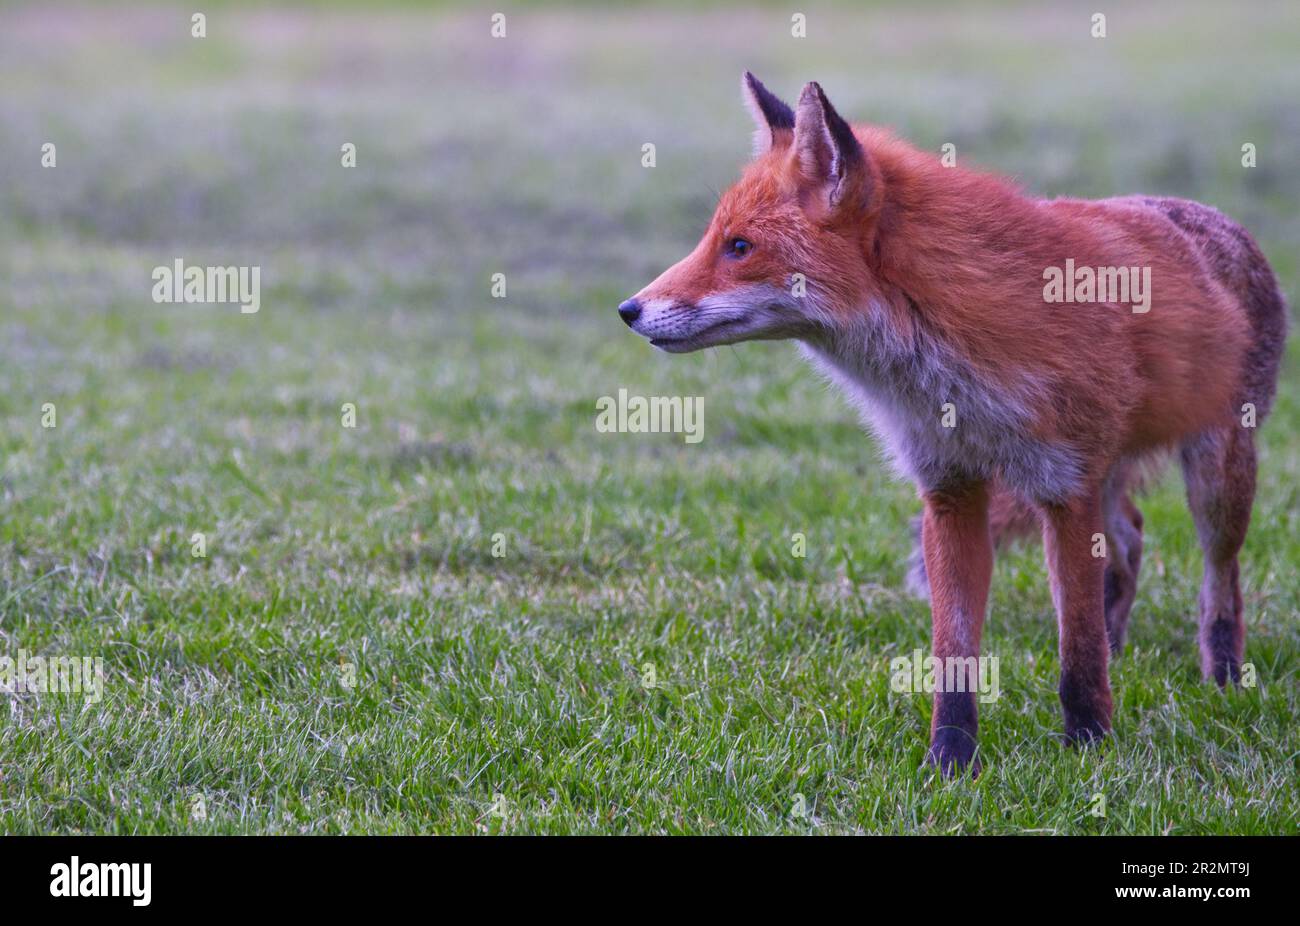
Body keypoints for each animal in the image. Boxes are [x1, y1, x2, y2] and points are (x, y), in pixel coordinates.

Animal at [618, 73, 1288, 775]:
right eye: (714, 239)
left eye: (739, 247)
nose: (628, 310)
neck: (944, 363)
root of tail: (1213, 217)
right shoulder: (950, 488)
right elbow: (955, 653)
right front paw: (951, 763)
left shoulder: (1062, 488)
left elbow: (1076, 650)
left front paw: (1086, 747)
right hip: (1107, 476)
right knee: (1129, 540)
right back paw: (1122, 646)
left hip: (1213, 476)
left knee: (1219, 579)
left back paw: (1222, 677)